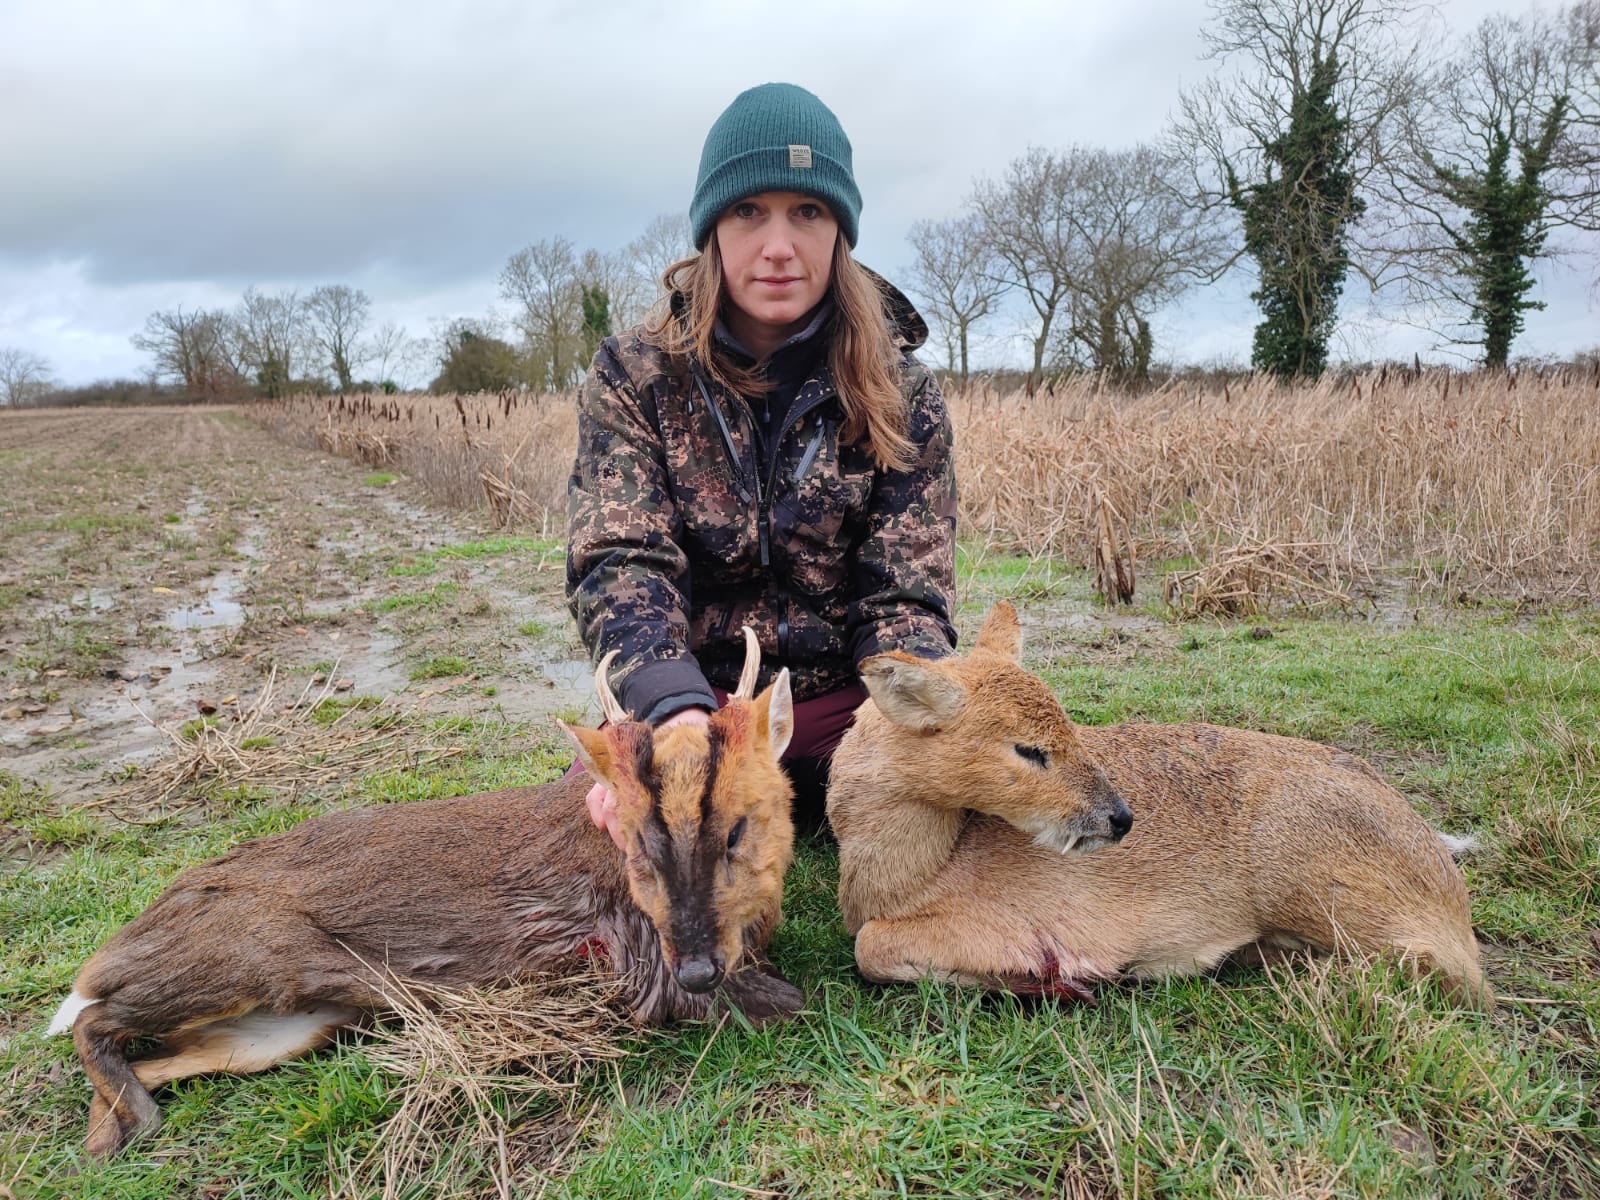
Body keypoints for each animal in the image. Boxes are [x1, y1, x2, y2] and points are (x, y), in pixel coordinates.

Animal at [45, 631, 802, 1160]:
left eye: (737, 828)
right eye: (639, 845)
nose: (697, 968)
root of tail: (115, 948)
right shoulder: (644, 971)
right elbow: (791, 1003)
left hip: (291, 1026)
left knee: (155, 1057)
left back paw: (107, 1135)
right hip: (252, 962)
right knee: (94, 1020)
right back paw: (124, 1129)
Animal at [827, 602, 1492, 1011]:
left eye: (1071, 726)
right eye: (1028, 748)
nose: (1121, 817)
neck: (915, 877)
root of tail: (1436, 857)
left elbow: (872, 948)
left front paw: (1056, 981)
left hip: (1313, 877)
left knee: (1453, 976)